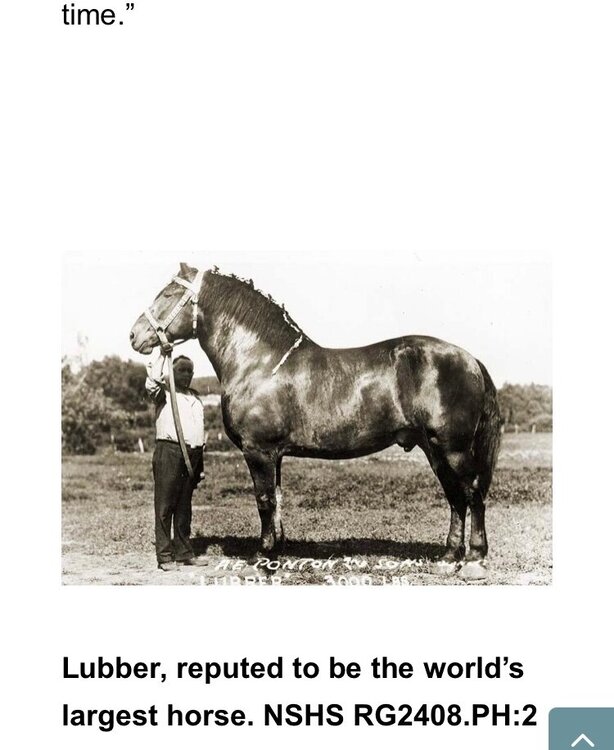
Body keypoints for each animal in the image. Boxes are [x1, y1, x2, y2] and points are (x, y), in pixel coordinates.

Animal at [130, 263, 501, 579]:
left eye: (167, 294)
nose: (135, 335)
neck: (261, 362)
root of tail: (471, 359)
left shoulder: (258, 451)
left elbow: (264, 502)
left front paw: (261, 562)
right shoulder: (275, 455)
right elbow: (277, 502)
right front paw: (274, 555)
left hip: (453, 449)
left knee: (473, 492)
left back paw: (474, 561)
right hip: (434, 449)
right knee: (455, 497)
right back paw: (448, 559)